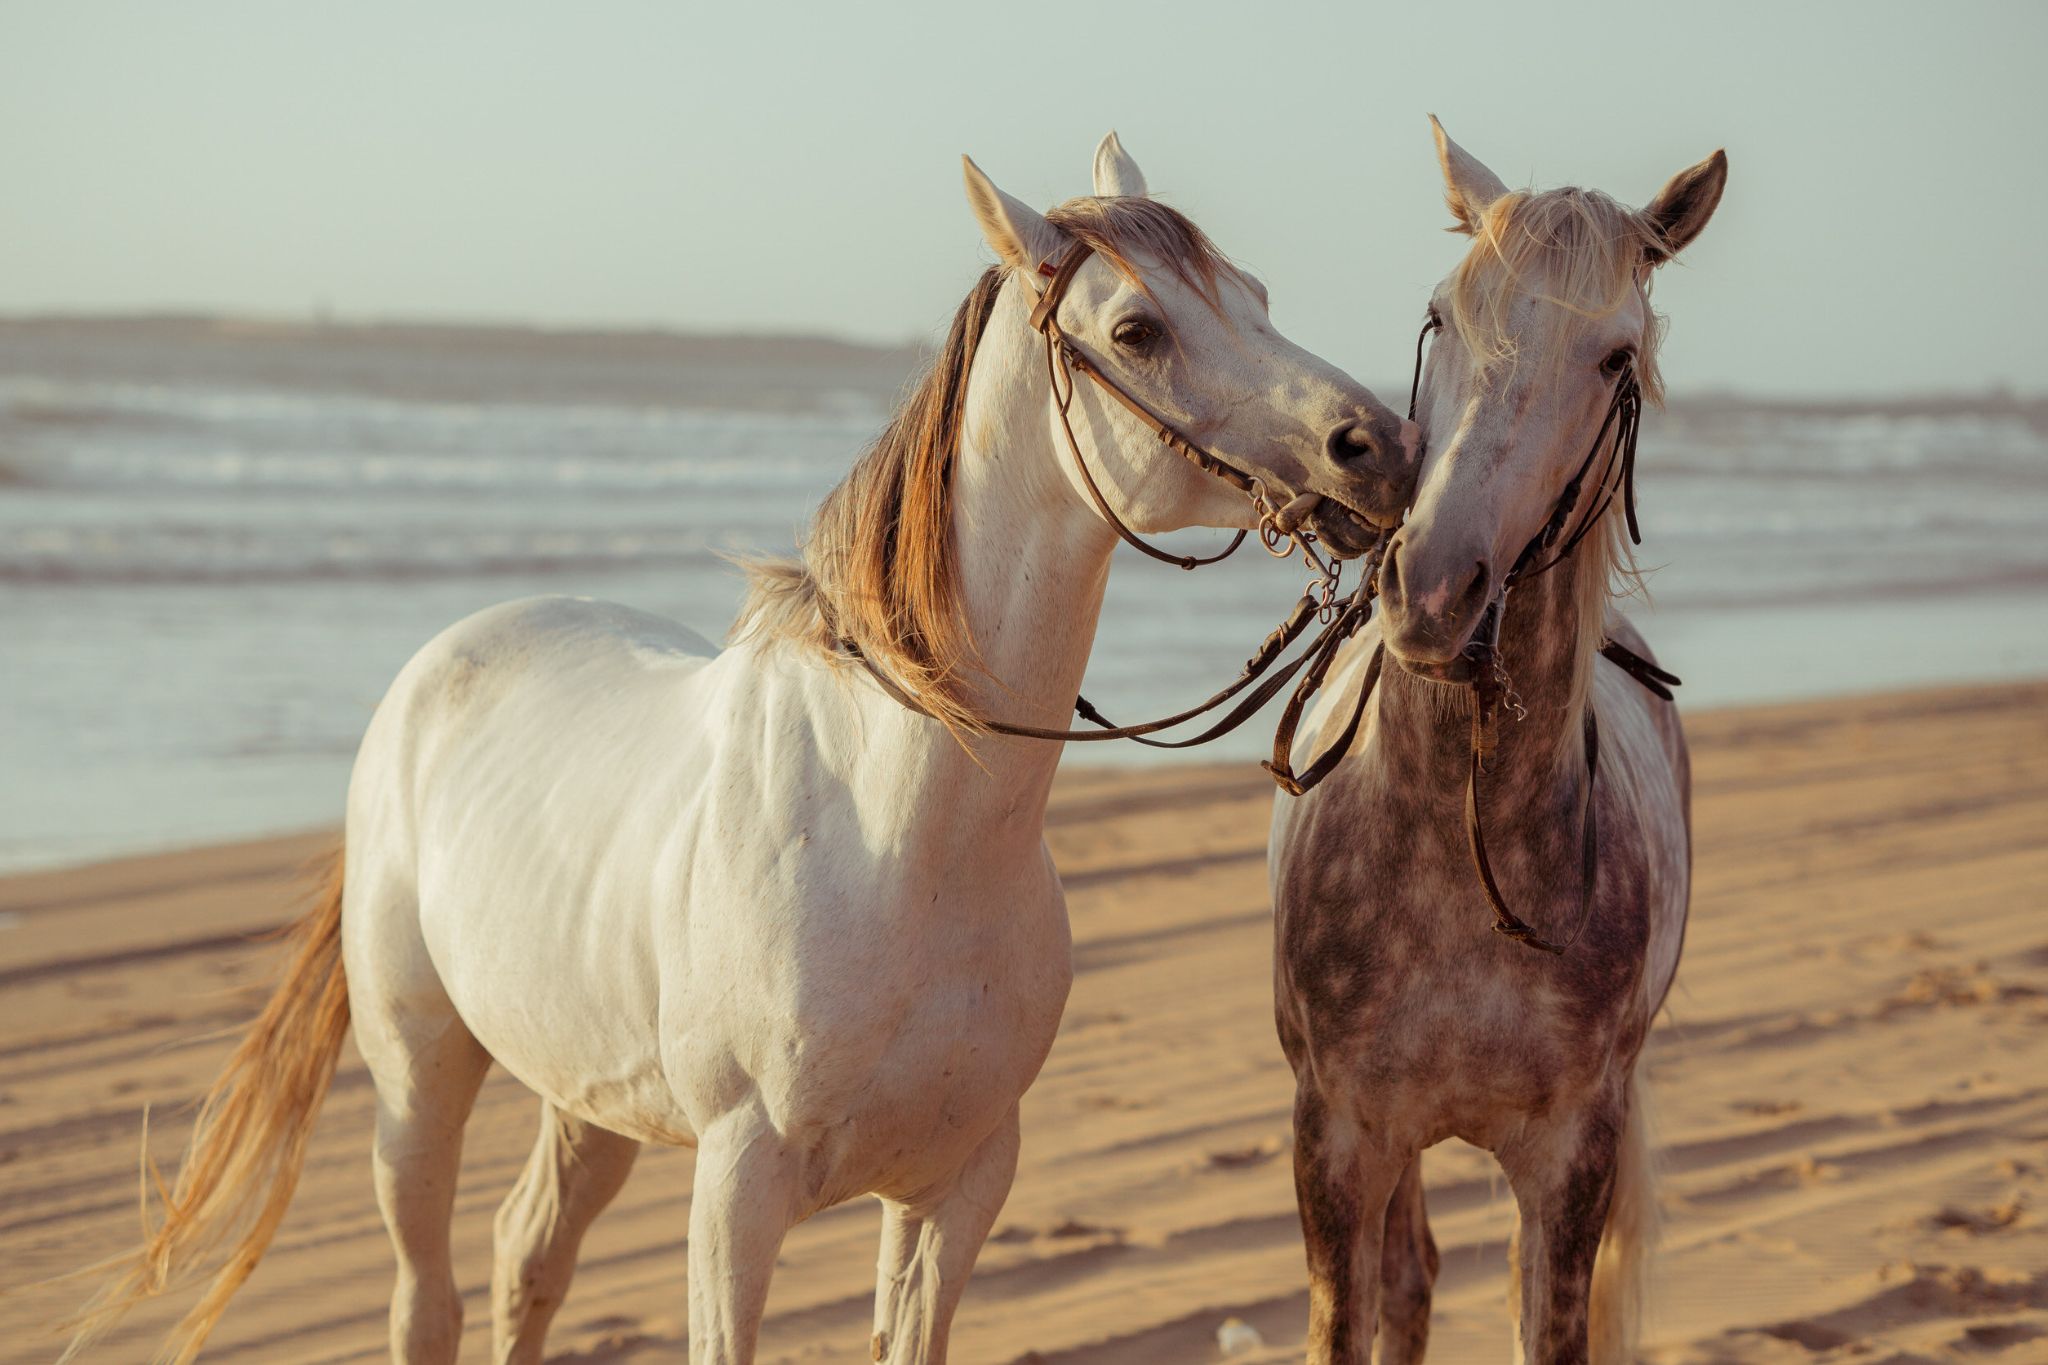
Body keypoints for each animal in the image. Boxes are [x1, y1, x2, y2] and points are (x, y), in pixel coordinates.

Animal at [64, 134, 1421, 1365]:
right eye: (1137, 329)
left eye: (1254, 294)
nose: (1383, 450)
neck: (905, 833)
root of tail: (446, 659)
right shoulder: (737, 1192)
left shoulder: (957, 1186)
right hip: (417, 1080)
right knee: (428, 1297)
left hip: (586, 1096)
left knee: (524, 1257)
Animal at [1268, 119, 1726, 1365]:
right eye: (1437, 315)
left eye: (1615, 359)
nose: (1429, 590)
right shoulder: (1337, 1140)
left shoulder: (1569, 1165)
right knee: (1409, 1277)